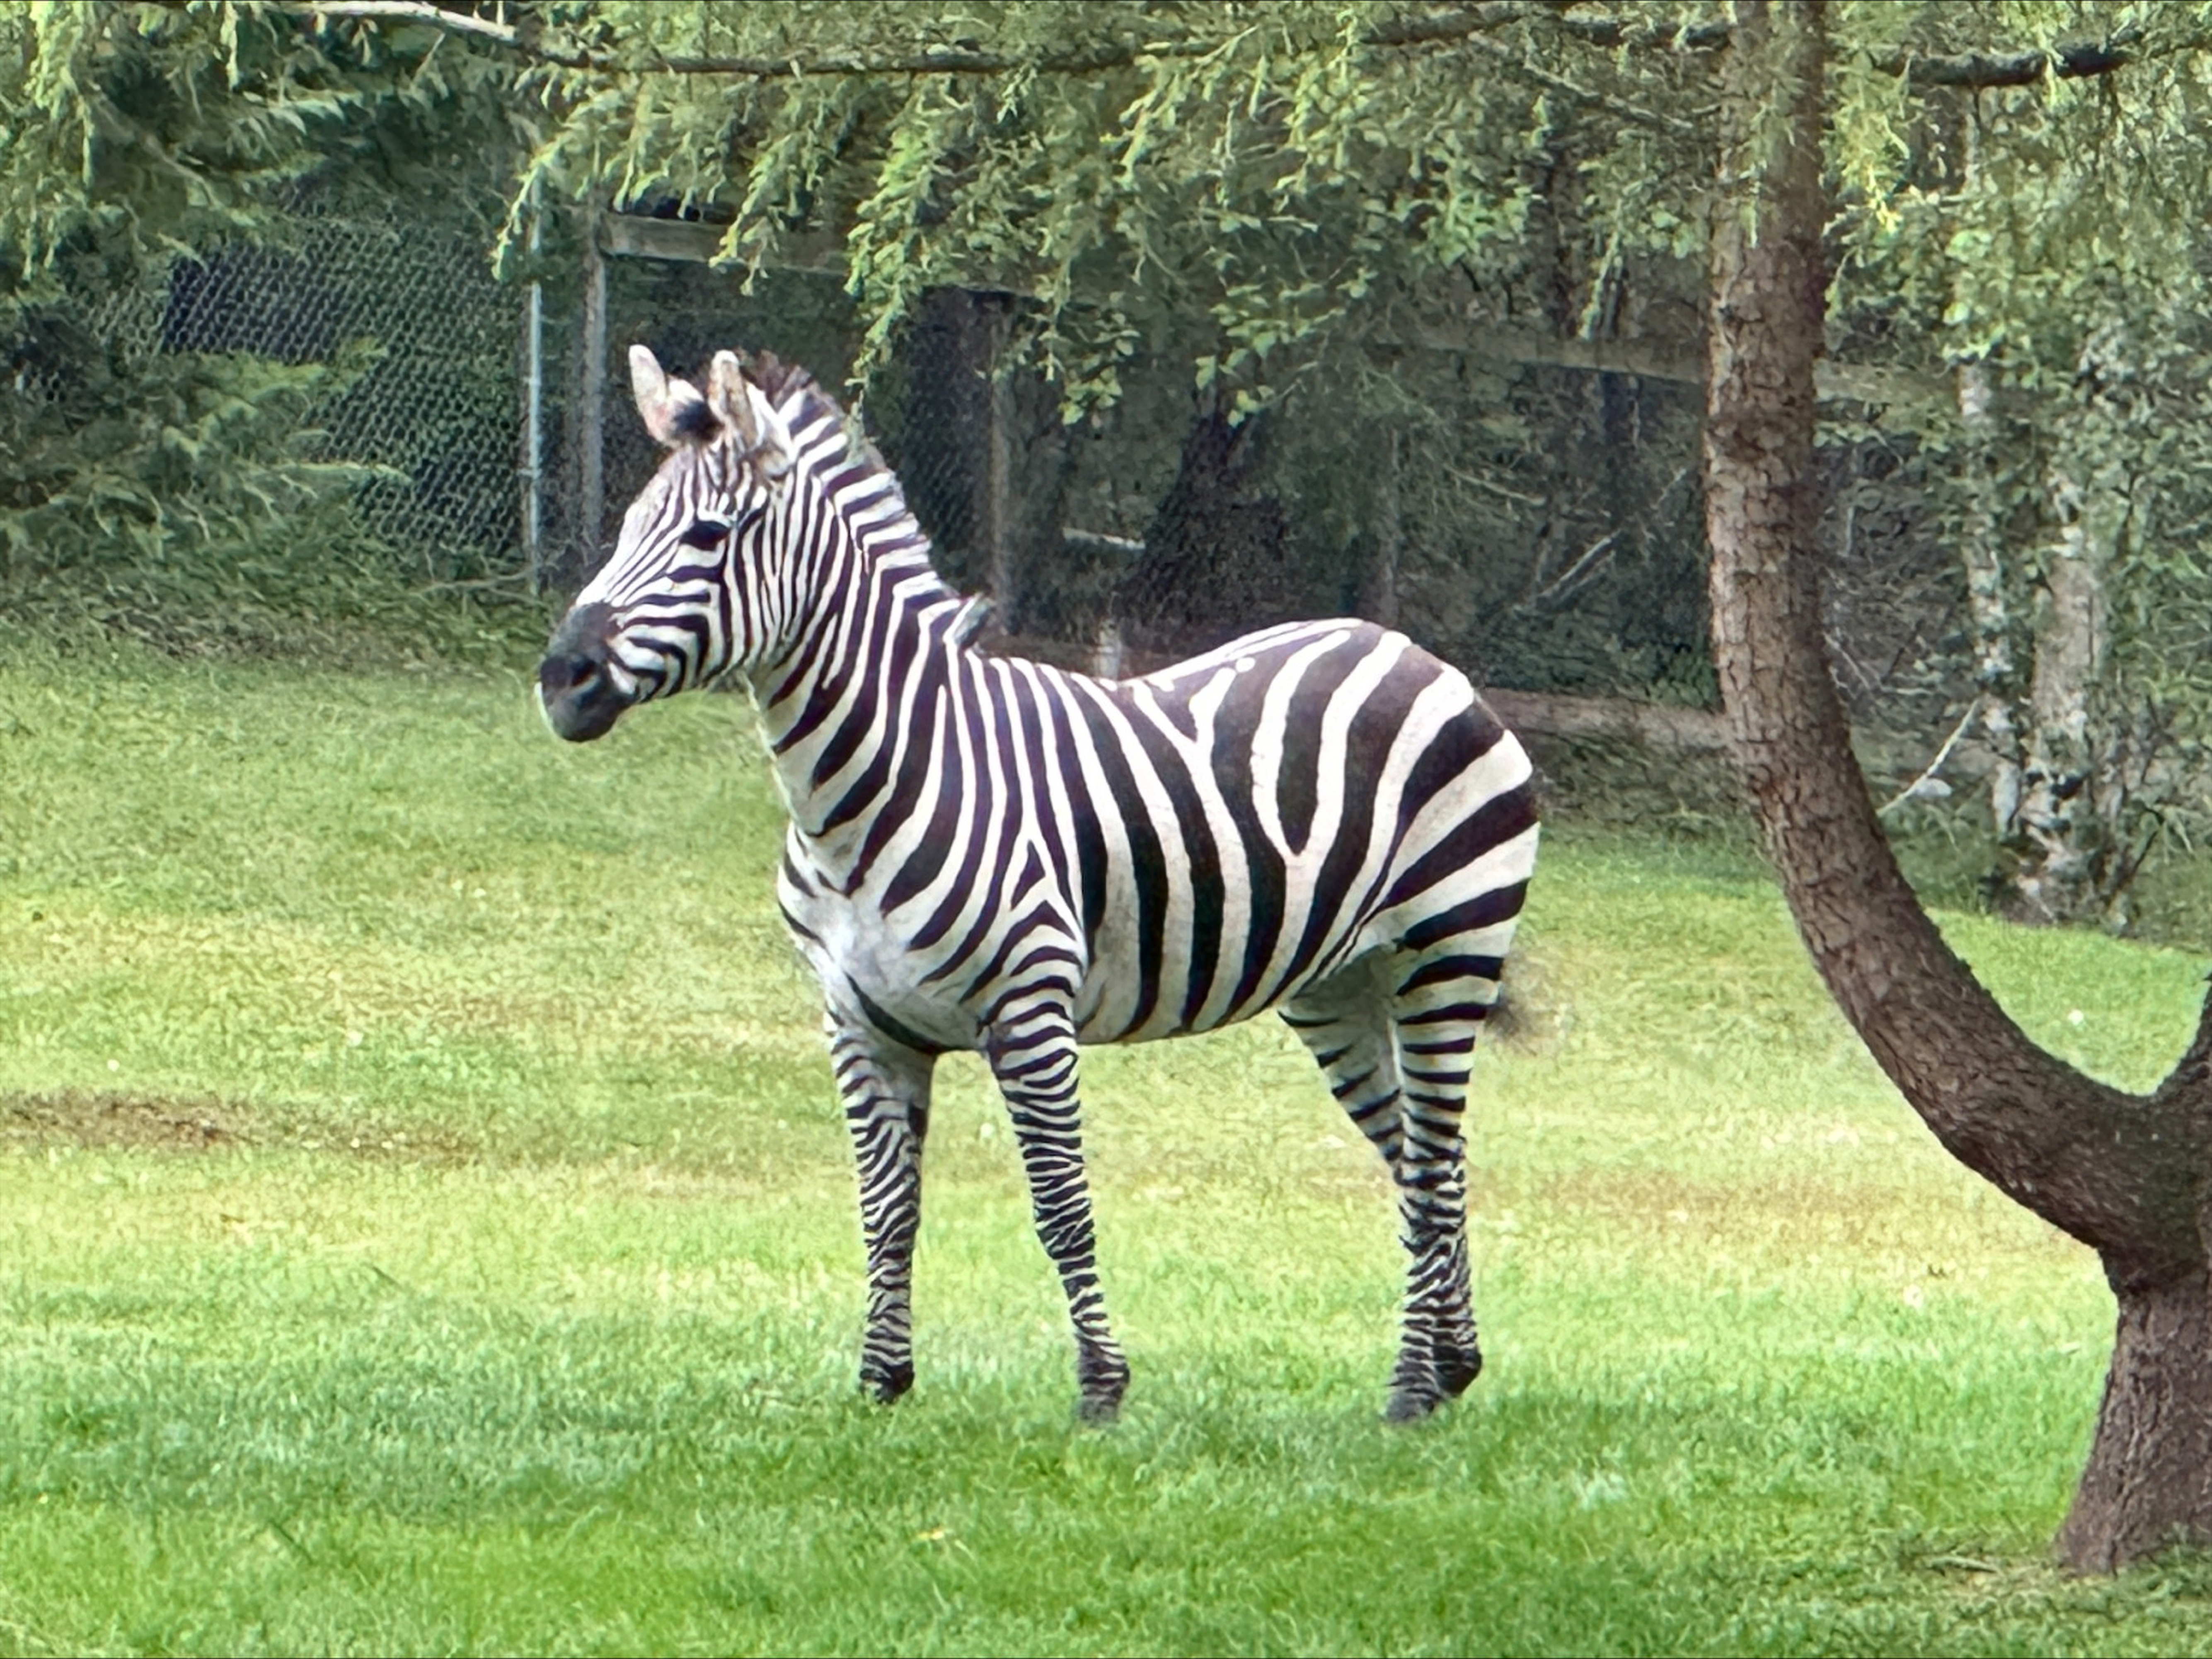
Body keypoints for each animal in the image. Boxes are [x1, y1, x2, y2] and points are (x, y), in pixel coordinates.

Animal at [538, 345, 1539, 1424]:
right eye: (626, 530)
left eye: (707, 536)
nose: (560, 679)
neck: (873, 785)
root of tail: (1410, 651)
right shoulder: (858, 1023)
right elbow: (885, 1210)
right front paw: (882, 1384)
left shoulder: (1027, 1010)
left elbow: (1060, 1207)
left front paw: (1100, 1391)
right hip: (1338, 984)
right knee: (1420, 1161)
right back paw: (1450, 1368)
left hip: (1447, 952)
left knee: (1432, 1163)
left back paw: (1407, 1392)